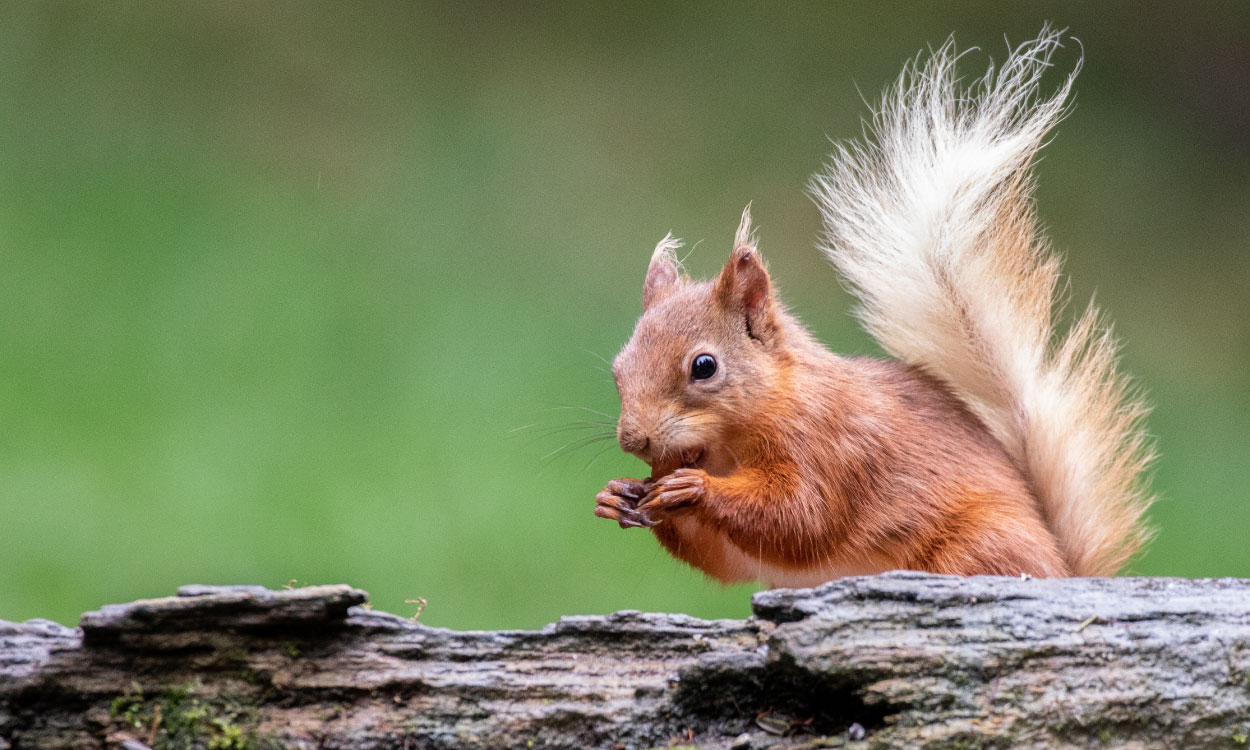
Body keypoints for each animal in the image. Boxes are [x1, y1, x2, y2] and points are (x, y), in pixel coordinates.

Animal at [592, 29, 1154, 584]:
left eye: (704, 366)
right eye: (618, 368)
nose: (634, 440)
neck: (732, 437)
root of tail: (1062, 572)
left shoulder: (832, 450)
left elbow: (799, 515)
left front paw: (695, 489)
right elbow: (724, 557)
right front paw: (619, 495)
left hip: (979, 547)